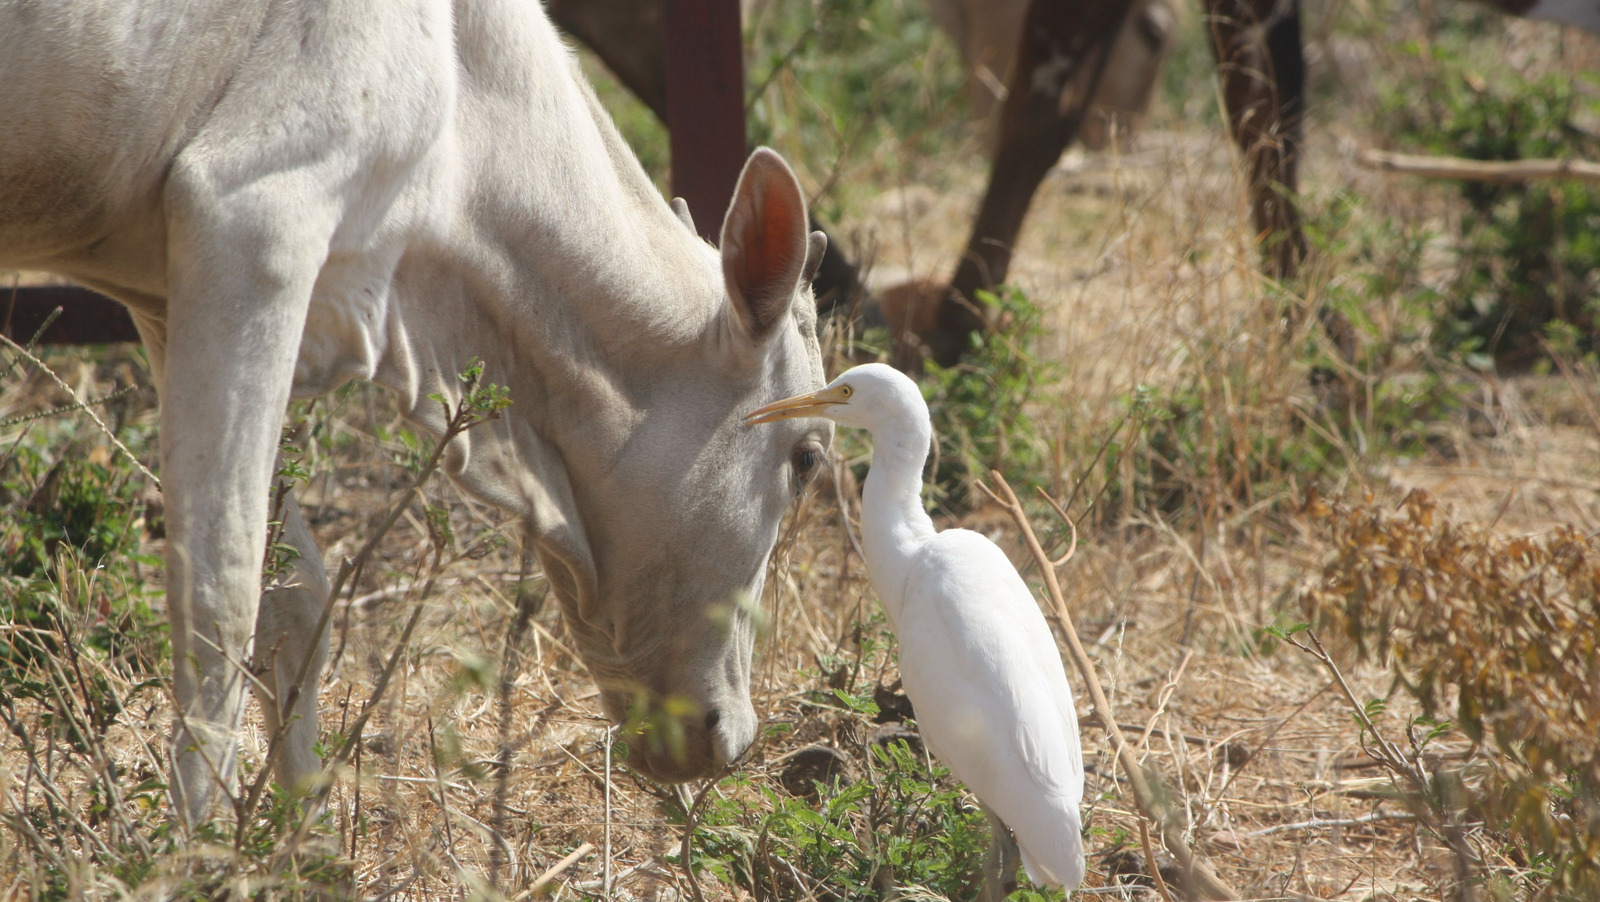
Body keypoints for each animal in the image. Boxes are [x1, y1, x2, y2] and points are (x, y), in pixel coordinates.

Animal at [0, 0, 832, 826]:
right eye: (808, 460)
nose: (735, 735)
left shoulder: (172, 295)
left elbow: (292, 597)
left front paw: (301, 840)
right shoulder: (254, 223)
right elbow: (219, 599)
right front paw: (199, 841)